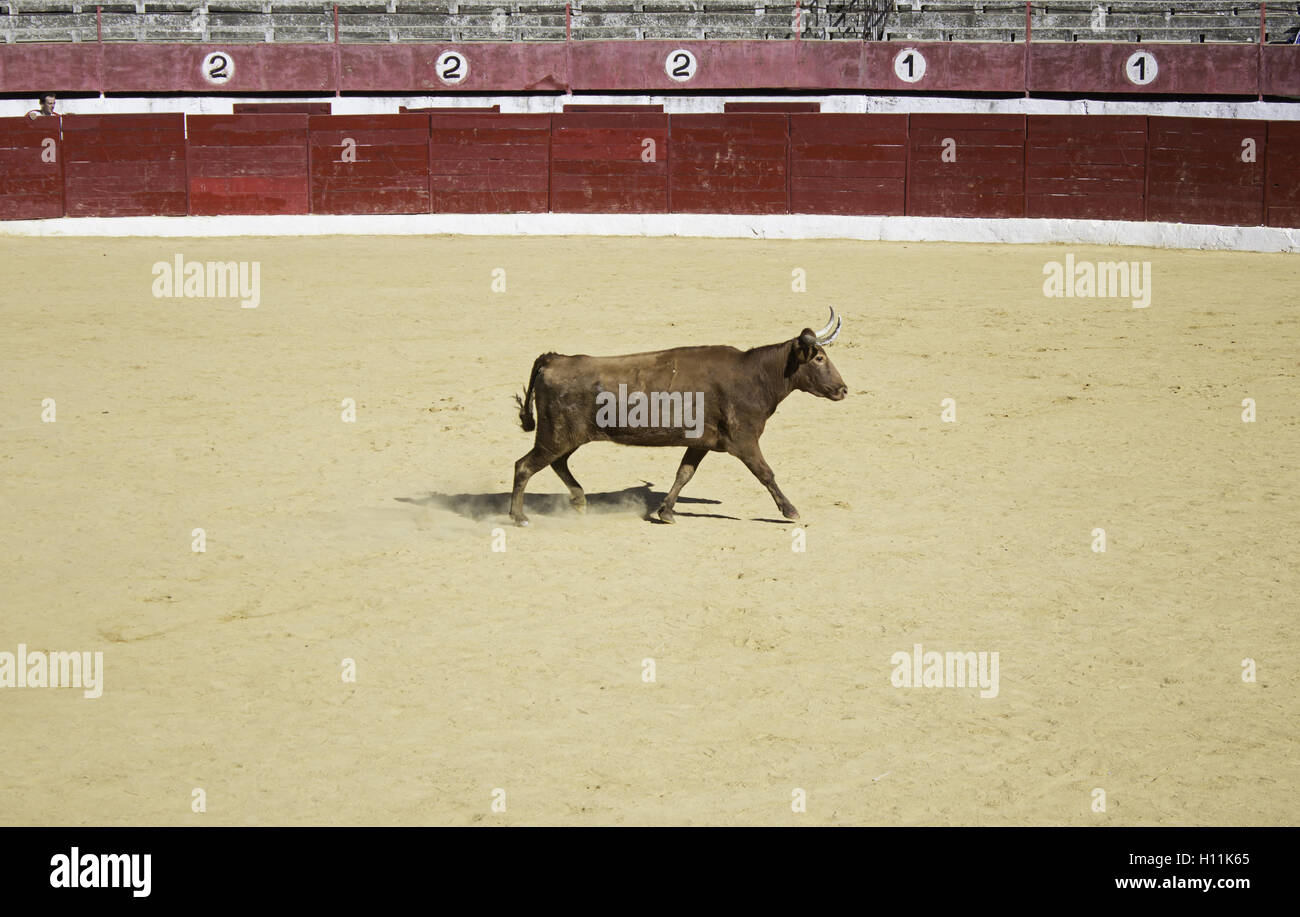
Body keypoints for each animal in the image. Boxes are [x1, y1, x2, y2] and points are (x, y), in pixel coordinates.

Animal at [508, 309, 847, 526]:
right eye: (819, 358)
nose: (843, 389)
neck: (753, 376)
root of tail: (554, 360)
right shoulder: (745, 441)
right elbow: (766, 473)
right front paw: (790, 511)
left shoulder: (700, 442)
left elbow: (684, 473)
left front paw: (666, 512)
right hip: (556, 435)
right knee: (524, 465)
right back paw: (519, 516)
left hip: (567, 437)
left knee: (557, 464)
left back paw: (579, 501)